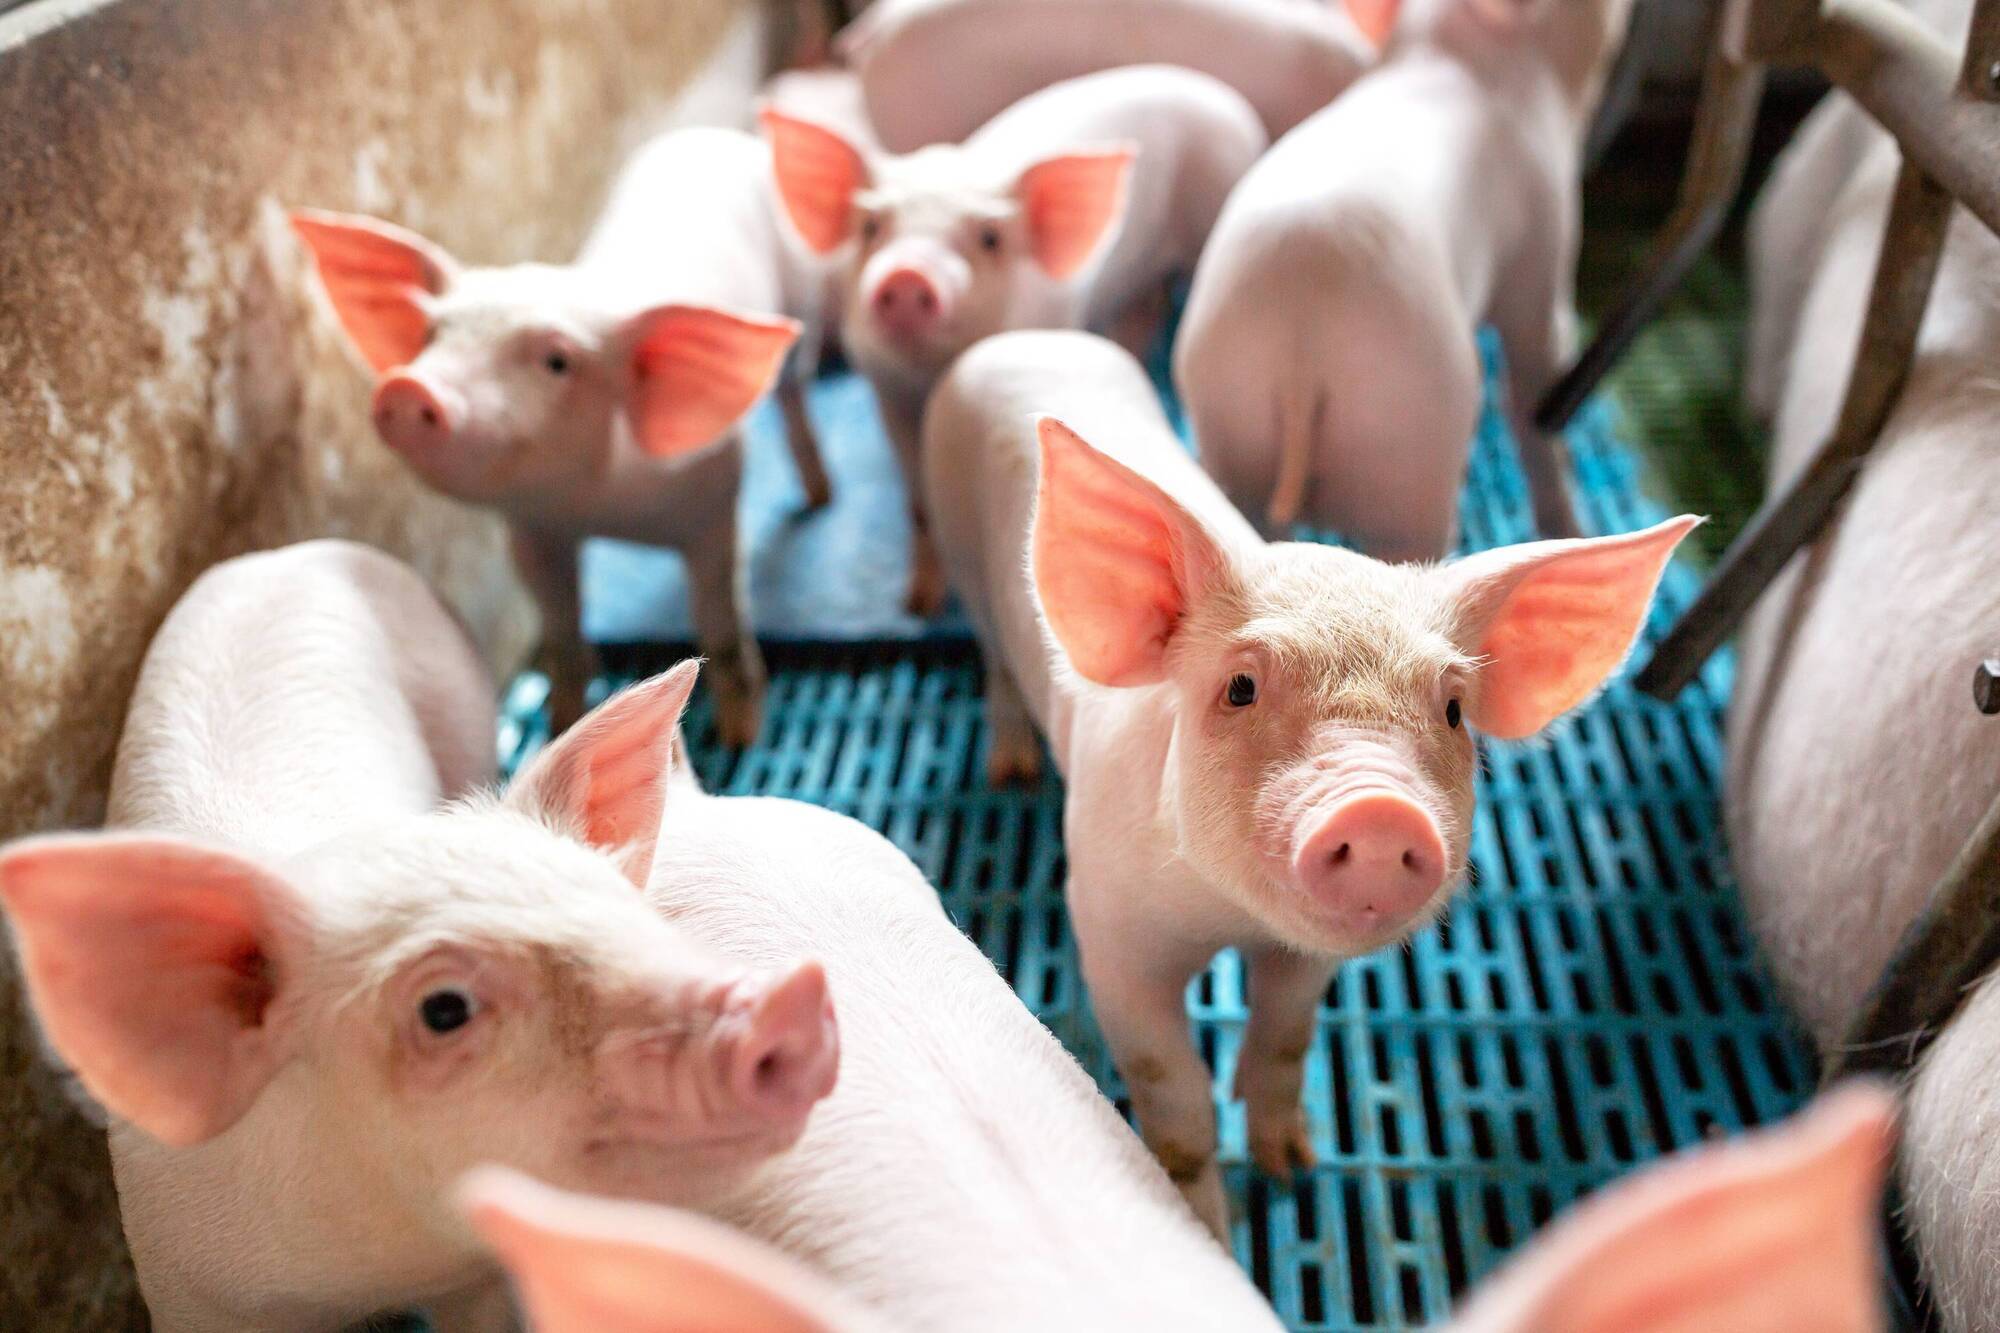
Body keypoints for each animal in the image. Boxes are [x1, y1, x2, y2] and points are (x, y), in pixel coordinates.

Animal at [0, 544, 836, 1333]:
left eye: (625, 909)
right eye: (444, 1009)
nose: (793, 996)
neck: (364, 1272)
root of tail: (292, 551)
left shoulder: (477, 1278)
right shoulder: (185, 1287)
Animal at [292, 124, 824, 746]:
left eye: (556, 361)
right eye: (431, 334)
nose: (407, 386)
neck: (598, 508)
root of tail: (713, 134)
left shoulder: (715, 503)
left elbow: (720, 622)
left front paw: (741, 738)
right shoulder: (534, 530)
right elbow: (563, 637)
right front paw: (560, 726)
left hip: (802, 304)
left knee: (795, 393)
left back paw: (818, 498)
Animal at [761, 65, 1267, 611]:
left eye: (989, 237)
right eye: (872, 226)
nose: (908, 274)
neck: (929, 376)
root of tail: (1216, 93)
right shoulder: (886, 390)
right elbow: (918, 504)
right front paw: (916, 603)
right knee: (1142, 313)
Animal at [924, 330, 1695, 1237]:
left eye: (1454, 709)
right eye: (1240, 687)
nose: (1382, 809)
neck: (1229, 919)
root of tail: (1024, 337)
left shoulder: (1307, 960)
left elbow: (1285, 1038)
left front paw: (1293, 1163)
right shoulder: (1110, 931)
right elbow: (1174, 1102)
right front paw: (1209, 1227)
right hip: (962, 556)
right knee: (993, 658)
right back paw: (1009, 768)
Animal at [1175, 0, 1635, 560]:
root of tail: (1300, 356)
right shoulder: (1544, 240)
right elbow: (1537, 382)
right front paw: (1573, 527)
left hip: (1233, 421)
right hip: (1407, 447)